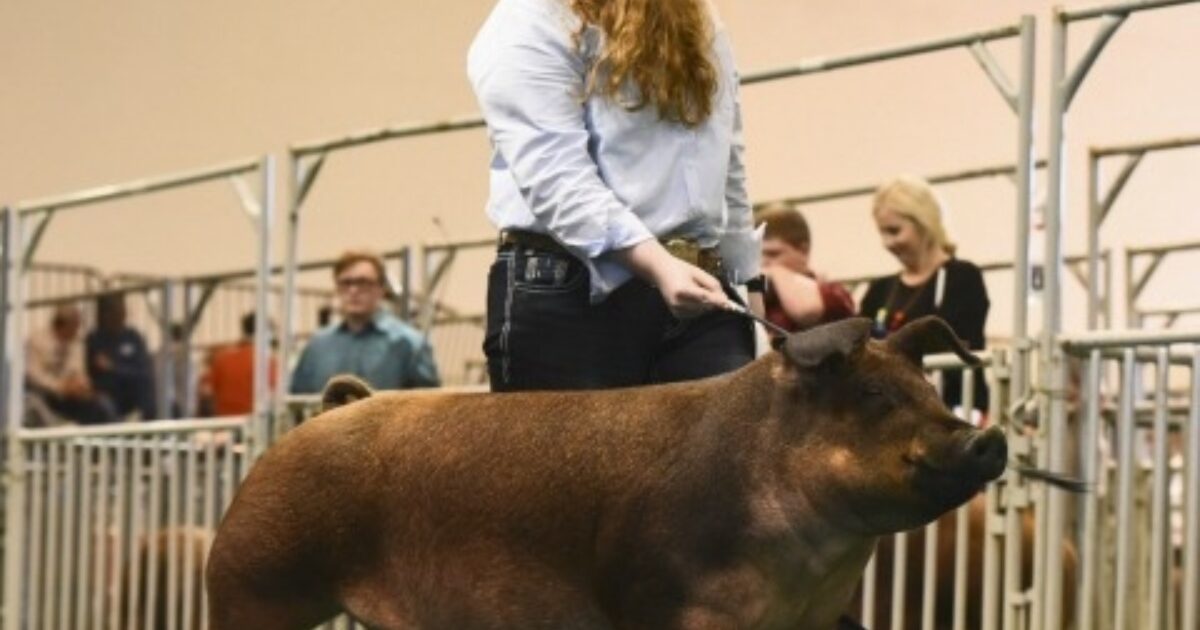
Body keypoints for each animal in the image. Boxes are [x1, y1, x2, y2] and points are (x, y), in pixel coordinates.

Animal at [206, 316, 1006, 629]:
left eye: (932, 389)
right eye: (872, 395)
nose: (986, 439)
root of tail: (325, 414)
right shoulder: (664, 606)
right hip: (253, 581)